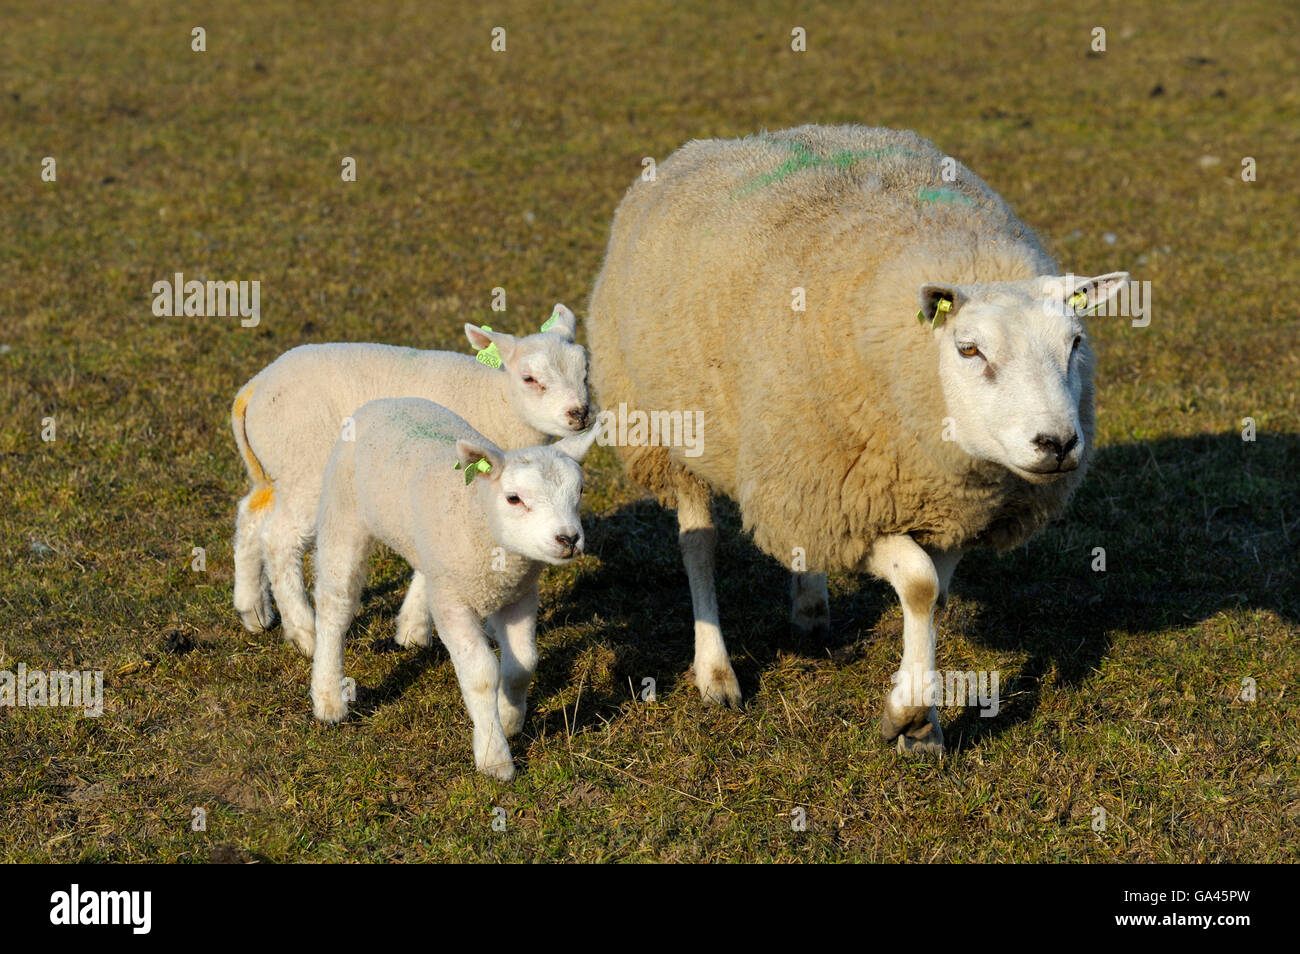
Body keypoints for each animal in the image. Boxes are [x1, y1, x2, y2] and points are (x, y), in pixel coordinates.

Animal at [230, 305, 590, 657]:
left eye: (585, 372)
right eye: (530, 379)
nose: (580, 413)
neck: (495, 401)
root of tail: (254, 387)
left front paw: (414, 630)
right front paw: (415, 631)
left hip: (278, 469)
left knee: (251, 514)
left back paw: (254, 612)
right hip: (306, 465)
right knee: (280, 537)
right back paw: (303, 632)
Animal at [309, 398, 600, 780]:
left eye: (580, 491)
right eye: (513, 498)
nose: (568, 539)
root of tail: (388, 399)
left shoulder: (520, 594)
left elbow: (523, 663)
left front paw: (510, 719)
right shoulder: (454, 601)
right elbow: (481, 675)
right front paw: (494, 756)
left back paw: (413, 628)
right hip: (344, 513)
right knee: (336, 604)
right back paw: (329, 697)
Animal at [586, 124, 1128, 753]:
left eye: (1075, 342)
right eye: (969, 349)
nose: (1057, 444)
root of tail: (706, 146)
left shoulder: (942, 505)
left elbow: (933, 596)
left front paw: (921, 720)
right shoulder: (856, 503)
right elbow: (917, 584)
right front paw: (909, 715)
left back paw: (810, 611)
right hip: (670, 432)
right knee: (699, 545)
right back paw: (716, 674)